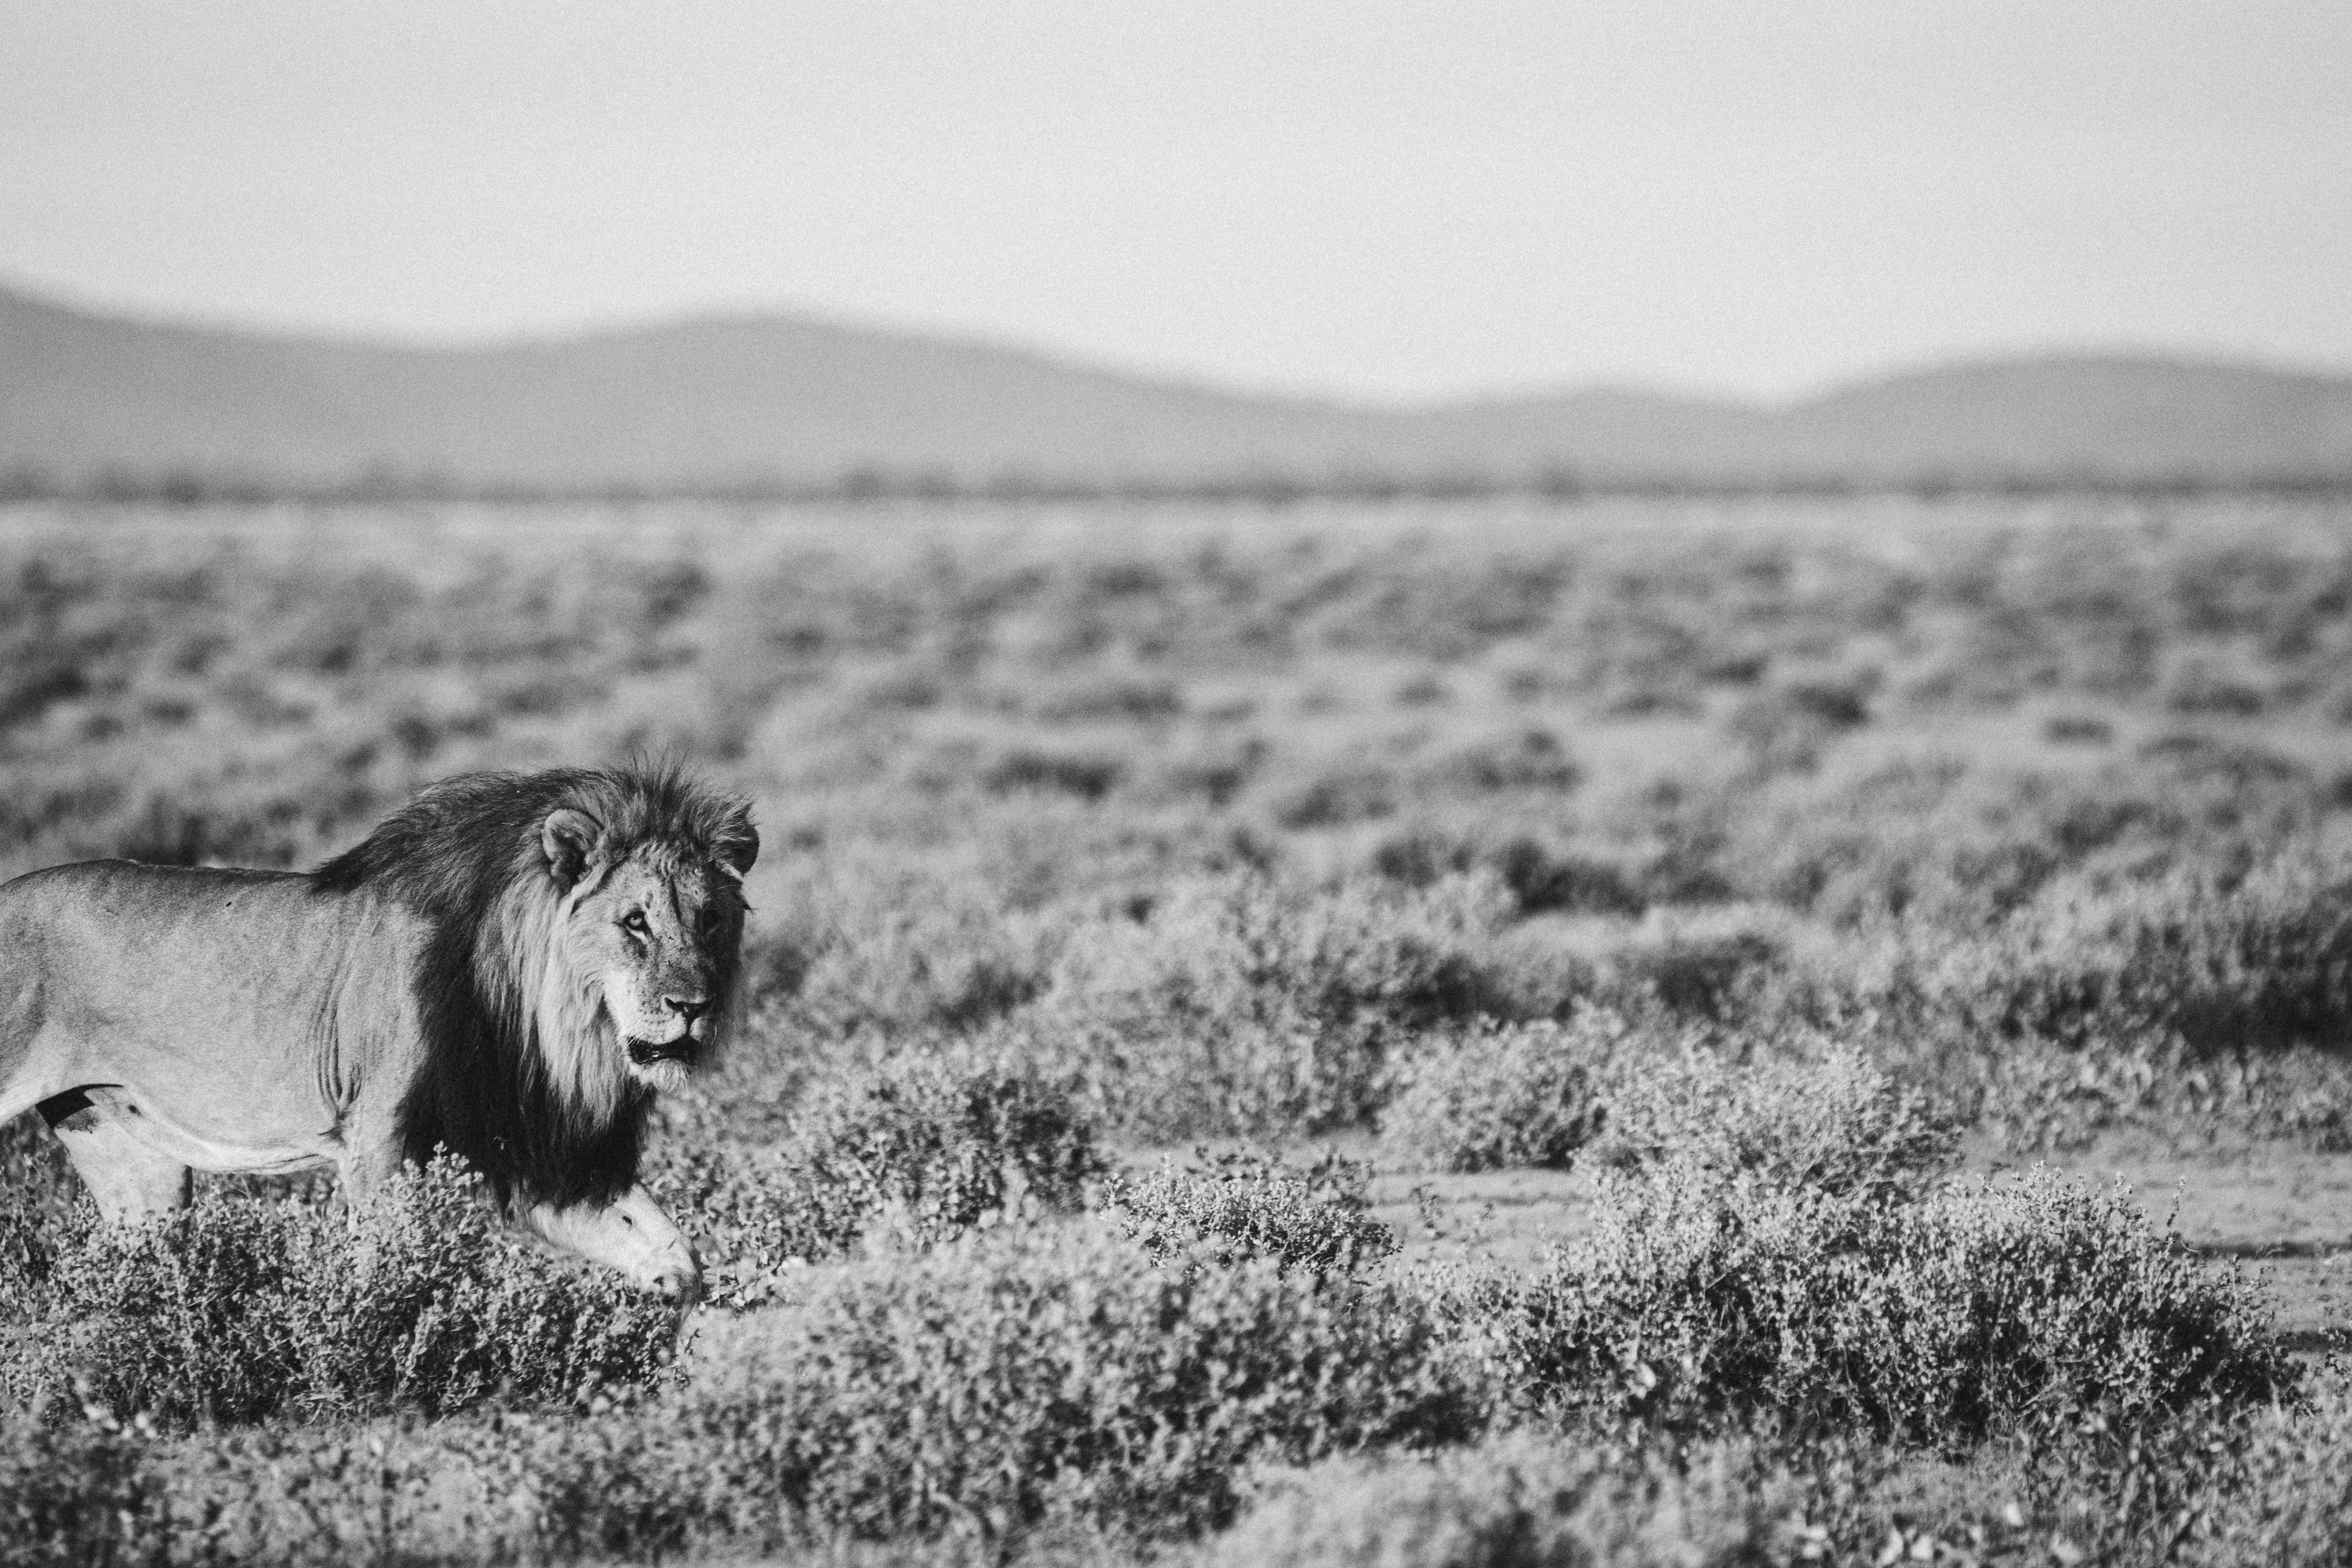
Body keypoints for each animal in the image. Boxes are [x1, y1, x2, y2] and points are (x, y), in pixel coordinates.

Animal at [0, 764, 756, 1299]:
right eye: (636, 921)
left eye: (710, 919)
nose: (695, 1004)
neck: (556, 1024)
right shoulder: (380, 1140)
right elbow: (389, 1277)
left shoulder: (539, 1158)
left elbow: (678, 1255)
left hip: (129, 1152)